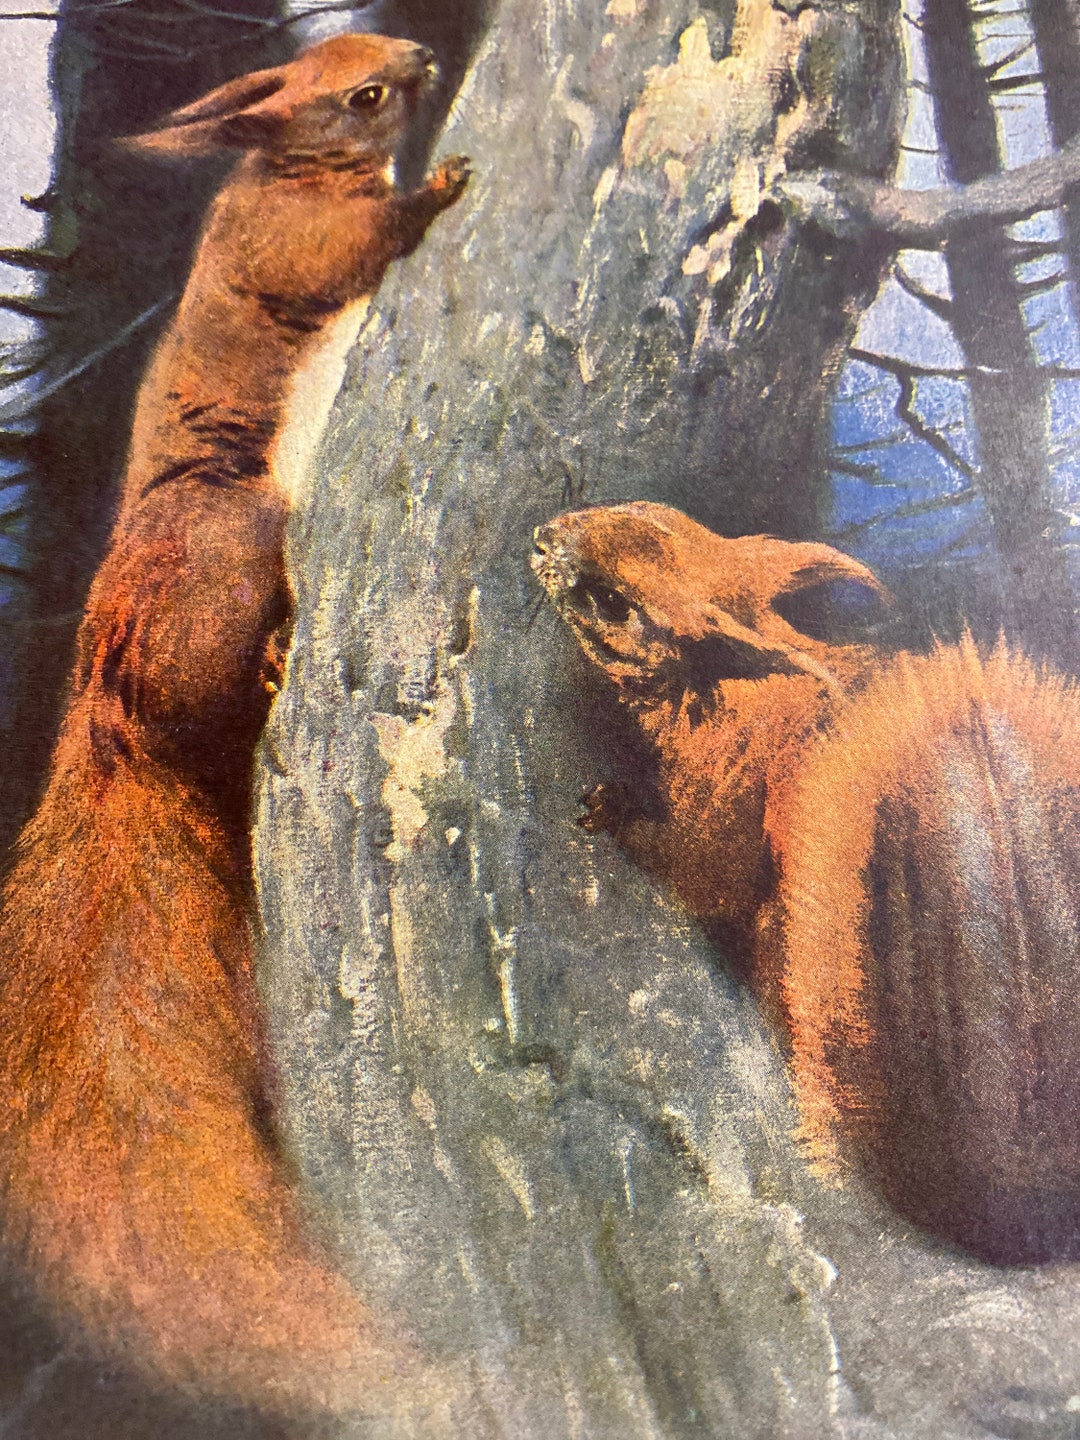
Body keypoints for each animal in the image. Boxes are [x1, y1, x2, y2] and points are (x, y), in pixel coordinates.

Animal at [0, 34, 470, 1420]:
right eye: (357, 91)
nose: (421, 55)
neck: (291, 166)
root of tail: (107, 710)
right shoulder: (290, 244)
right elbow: (348, 251)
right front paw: (439, 186)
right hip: (238, 534)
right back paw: (262, 664)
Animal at [533, 500, 1080, 1265]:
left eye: (613, 603)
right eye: (648, 509)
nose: (540, 539)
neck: (732, 684)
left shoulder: (727, 792)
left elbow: (705, 872)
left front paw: (610, 809)